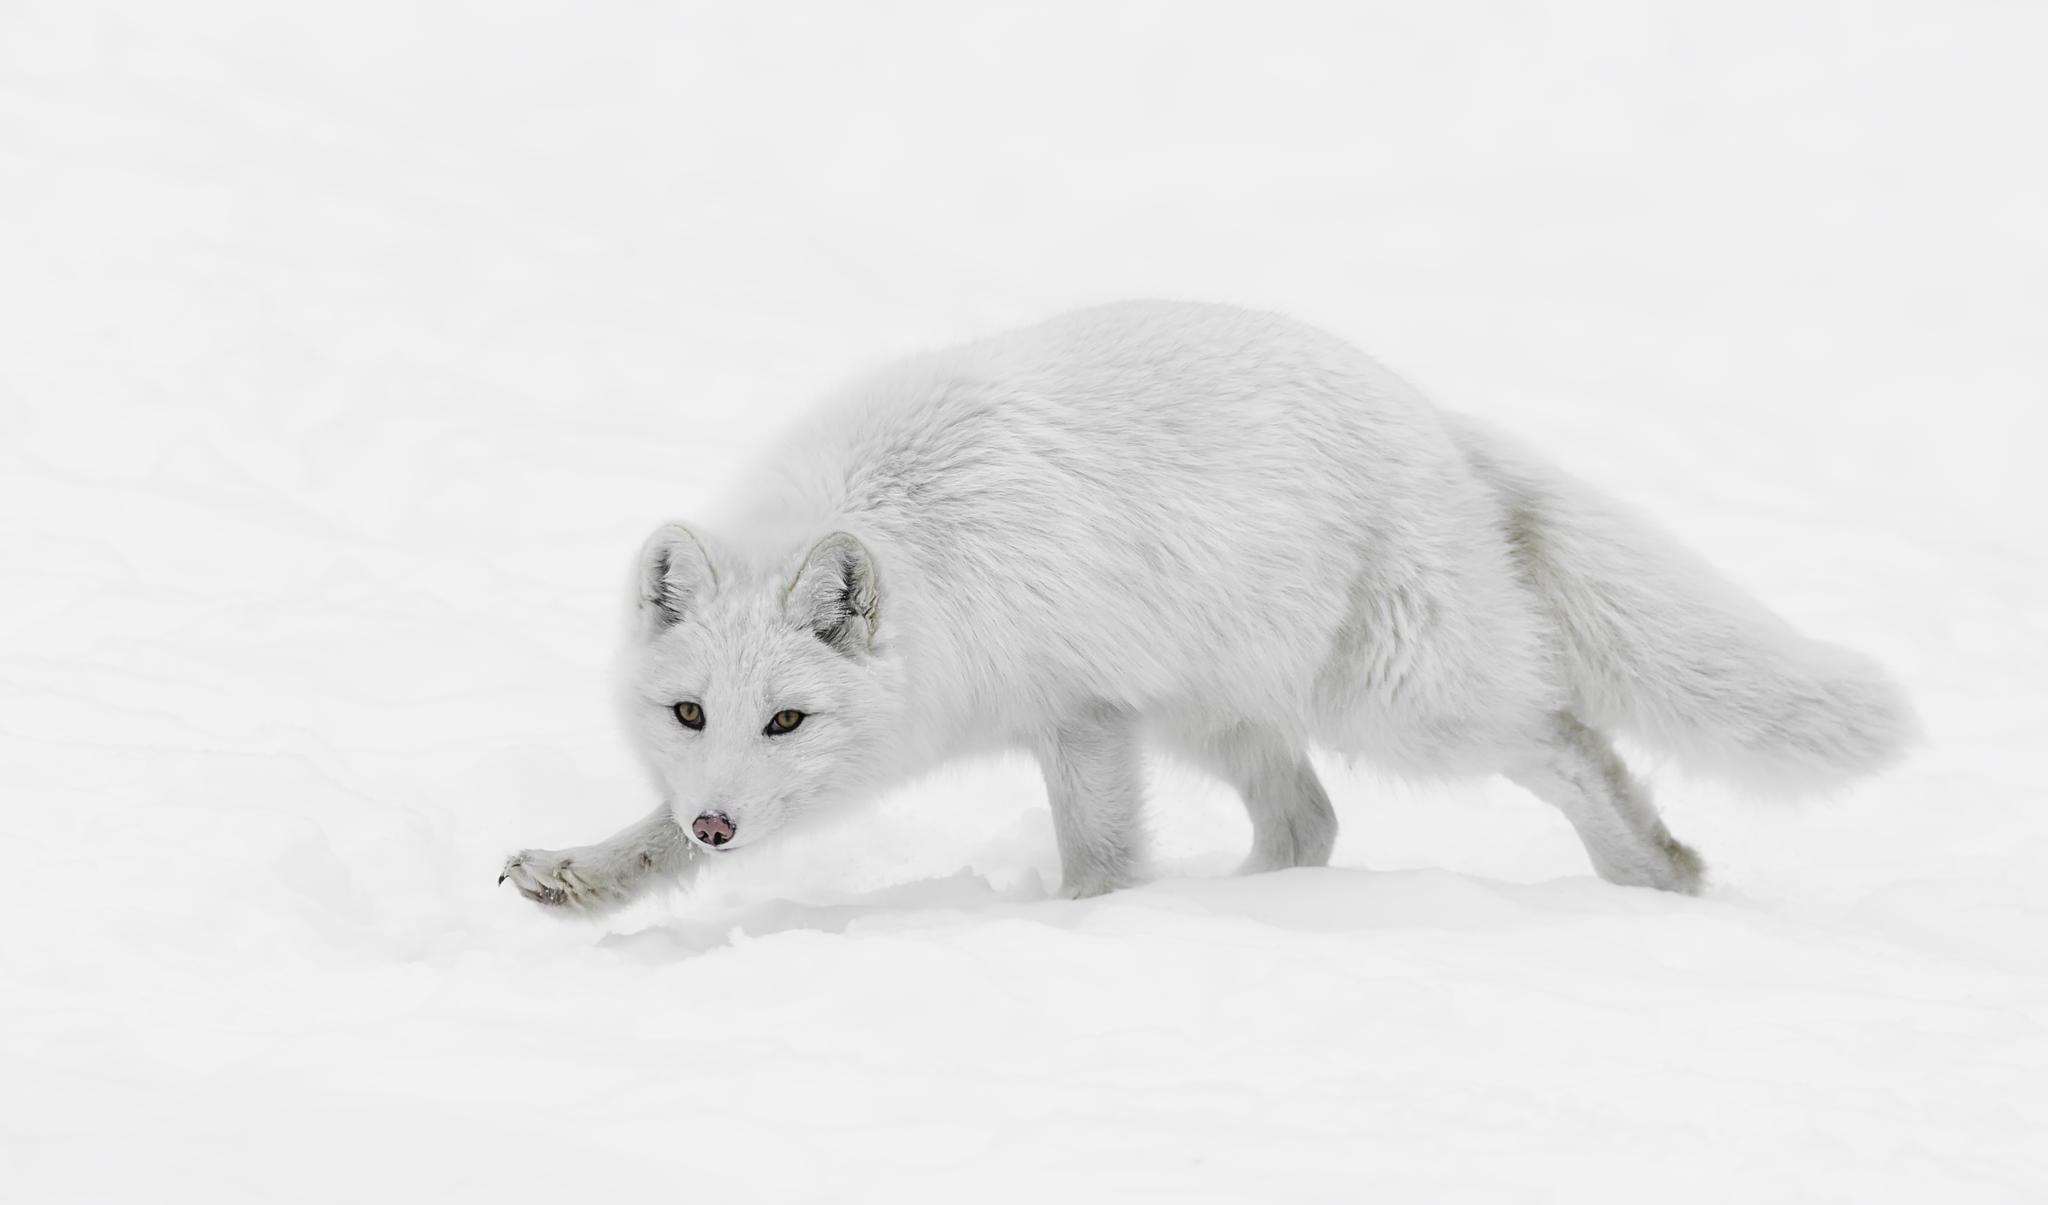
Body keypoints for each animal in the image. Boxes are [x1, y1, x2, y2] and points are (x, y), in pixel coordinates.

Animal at [500, 300, 1916, 914]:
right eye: (690, 712)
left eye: (787, 718)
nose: (723, 820)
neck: (927, 544)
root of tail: (1425, 412)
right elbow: (652, 841)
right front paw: (584, 871)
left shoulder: (1078, 713)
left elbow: (1100, 859)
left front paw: (1087, 924)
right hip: (1219, 714)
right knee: (1310, 821)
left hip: (1403, 704)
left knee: (1564, 739)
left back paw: (1655, 874)